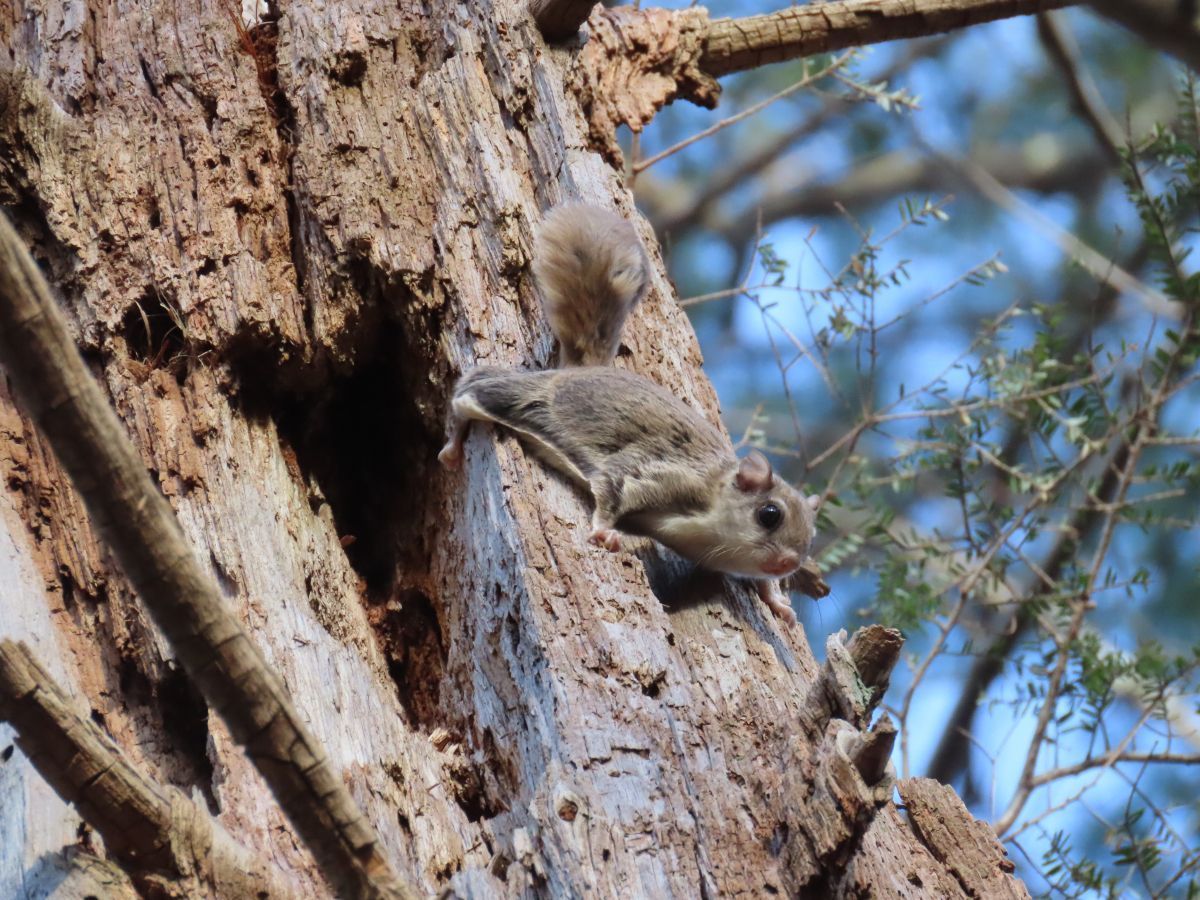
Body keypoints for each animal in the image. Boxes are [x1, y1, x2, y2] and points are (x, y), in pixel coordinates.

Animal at [437, 203, 820, 627]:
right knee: (474, 390)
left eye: (811, 536)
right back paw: (453, 441)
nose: (788, 563)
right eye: (770, 514)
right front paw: (603, 531)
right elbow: (614, 489)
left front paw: (778, 601)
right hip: (528, 402)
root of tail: (582, 371)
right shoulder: (662, 477)